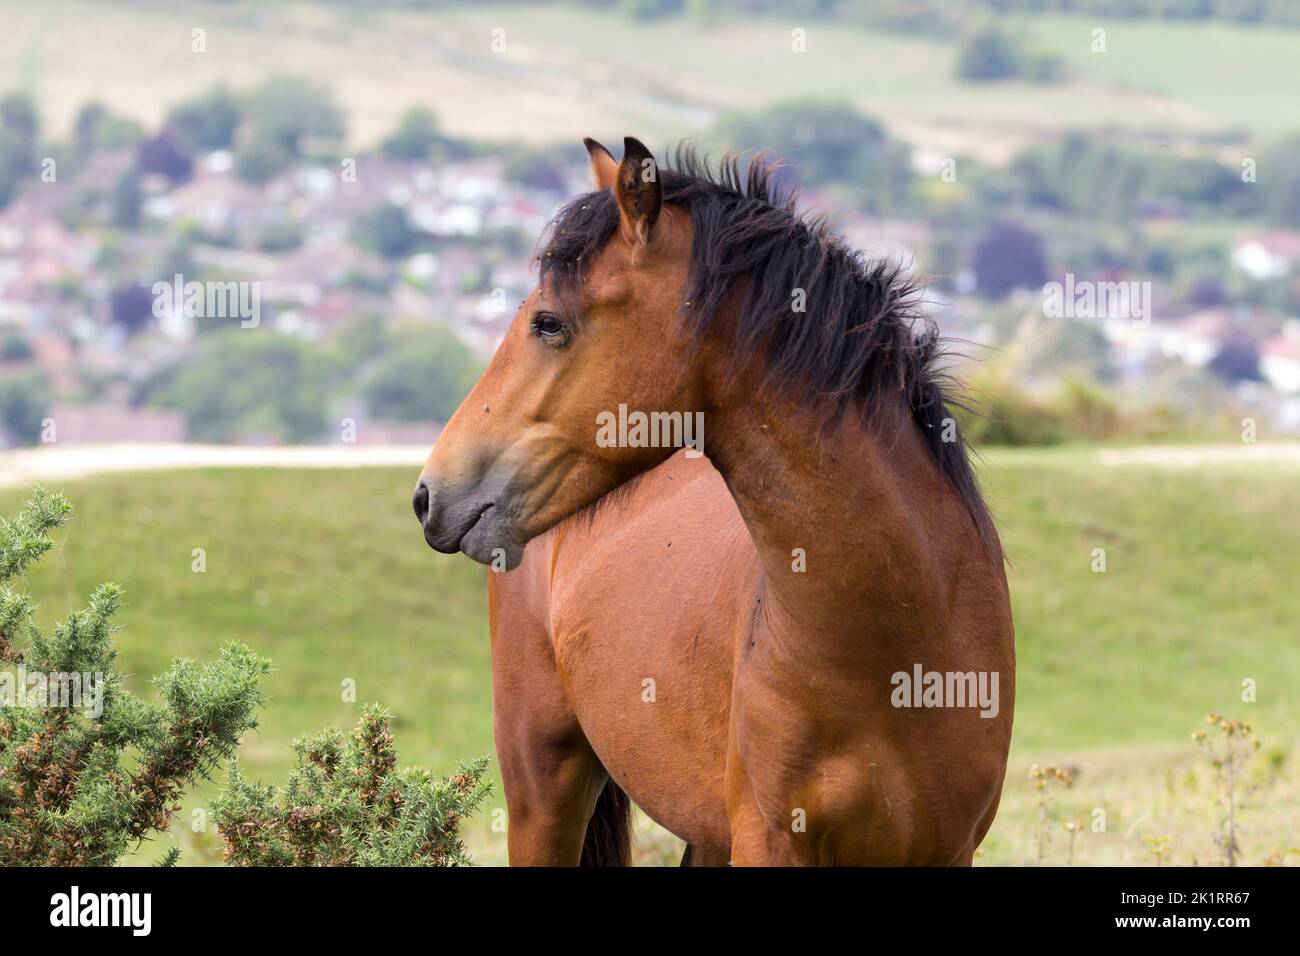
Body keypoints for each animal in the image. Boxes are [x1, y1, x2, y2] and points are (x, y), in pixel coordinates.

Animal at [413, 137, 1015, 866]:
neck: (898, 637)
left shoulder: (947, 849)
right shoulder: (769, 841)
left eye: (548, 322)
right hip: (542, 789)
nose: (429, 494)